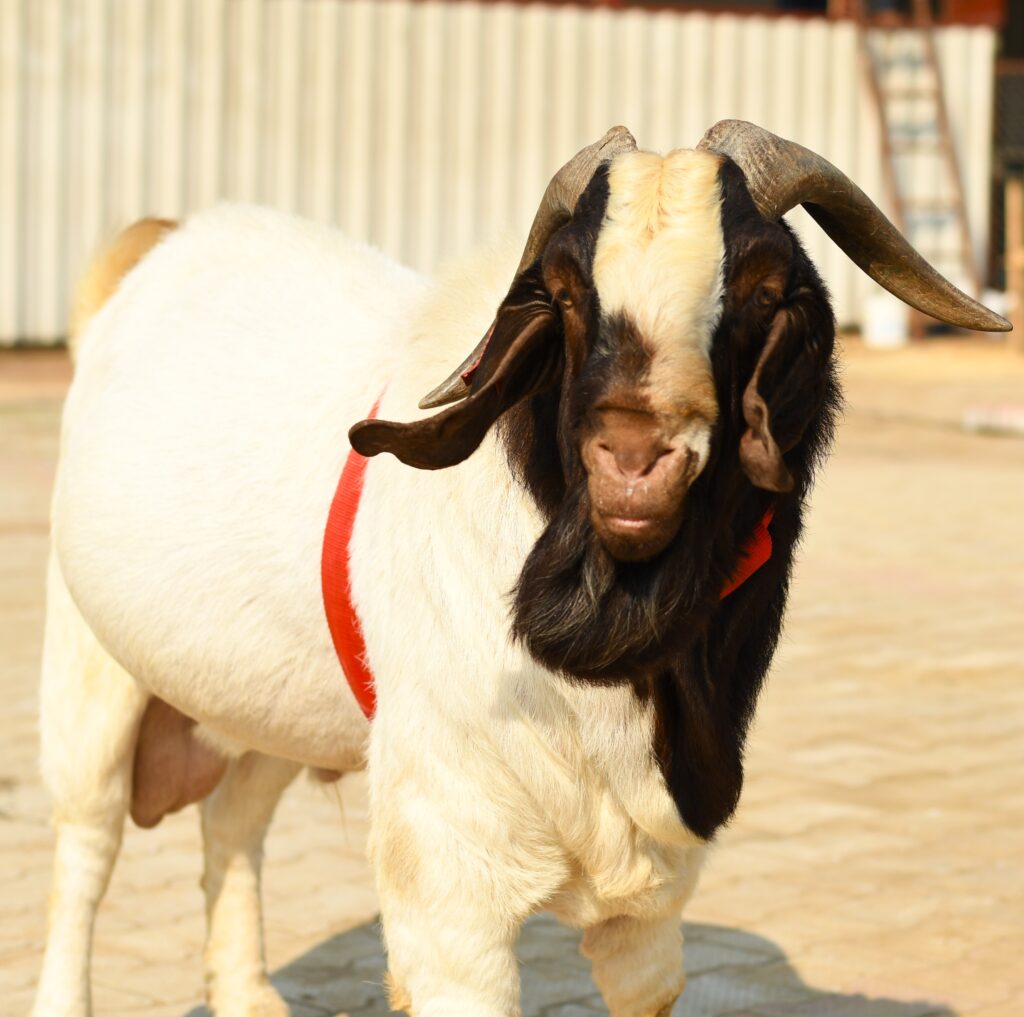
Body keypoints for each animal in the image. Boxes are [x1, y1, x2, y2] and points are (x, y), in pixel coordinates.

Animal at [34, 121, 1008, 1017]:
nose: (633, 461)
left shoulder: (656, 891)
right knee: (86, 841)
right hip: (88, 661)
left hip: (267, 698)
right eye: (568, 293)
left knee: (232, 817)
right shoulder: (449, 874)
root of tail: (156, 243)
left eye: (766, 288)